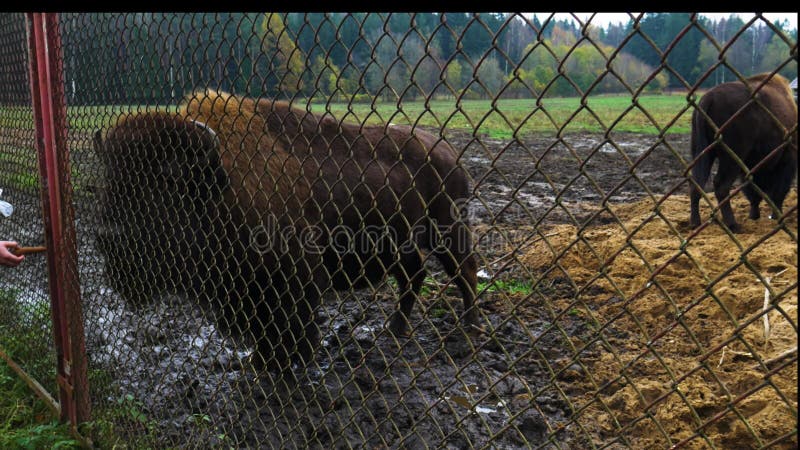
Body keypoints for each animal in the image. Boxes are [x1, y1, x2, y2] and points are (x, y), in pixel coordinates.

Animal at [95, 90, 479, 371]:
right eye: (108, 175)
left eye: (166, 180)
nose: (108, 236)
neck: (222, 184)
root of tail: (447, 151)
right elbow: (265, 331)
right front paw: (260, 362)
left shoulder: (294, 276)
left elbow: (295, 322)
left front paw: (292, 362)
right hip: (400, 244)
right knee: (414, 275)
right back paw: (396, 329)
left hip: (447, 231)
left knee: (465, 272)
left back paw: (469, 331)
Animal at [689, 73, 798, 233]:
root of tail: (709, 98)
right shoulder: (787, 160)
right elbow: (778, 191)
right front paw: (775, 216)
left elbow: (753, 192)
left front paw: (754, 216)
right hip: (731, 158)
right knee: (721, 186)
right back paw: (733, 225)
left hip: (701, 153)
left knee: (696, 184)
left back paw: (695, 223)